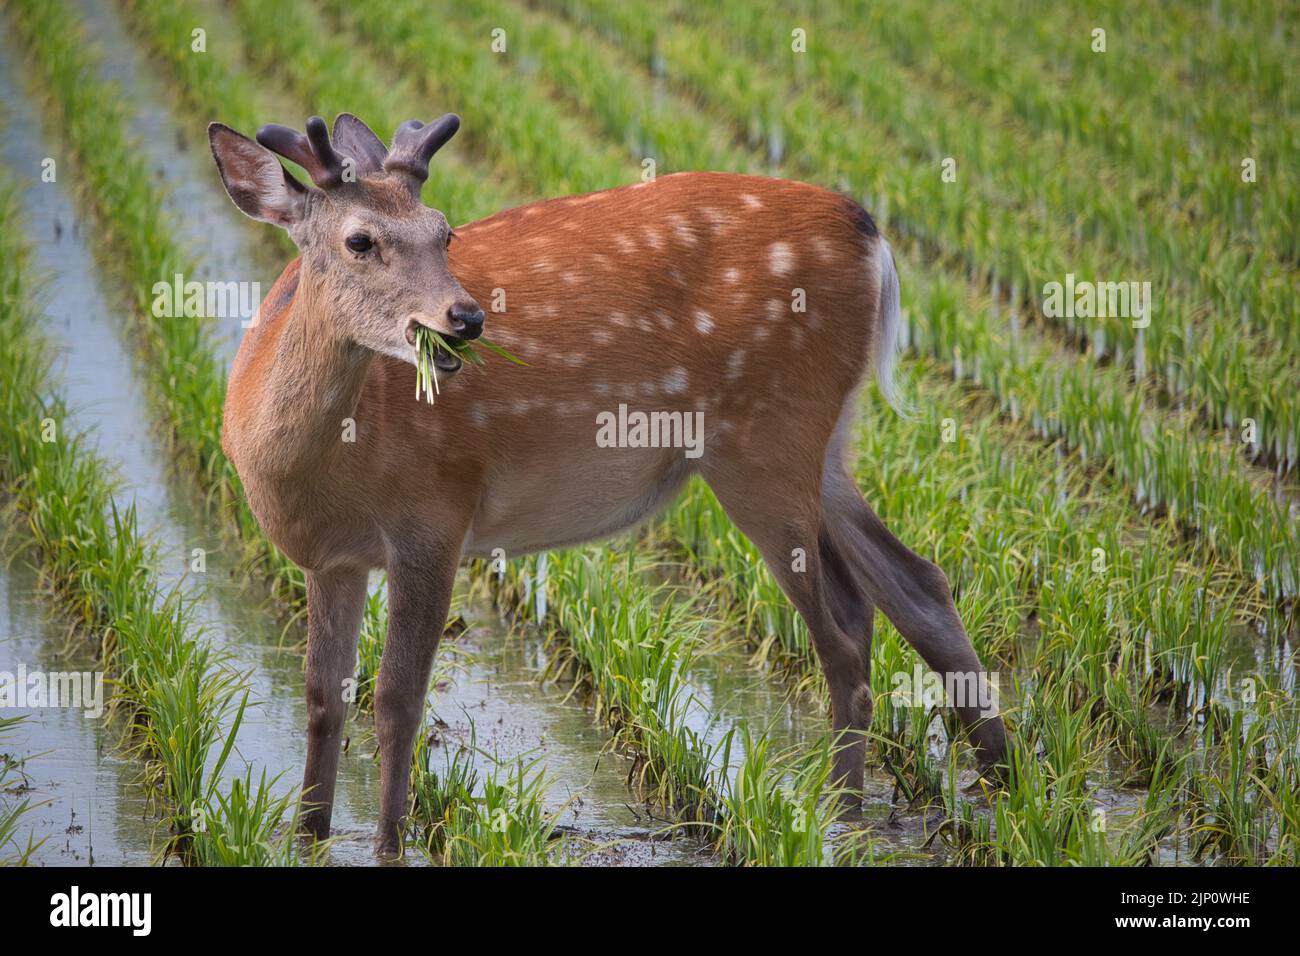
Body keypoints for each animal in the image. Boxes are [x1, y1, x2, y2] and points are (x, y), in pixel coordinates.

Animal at [207, 111, 1008, 858]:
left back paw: (842, 818)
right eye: (360, 240)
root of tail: (869, 231)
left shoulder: (435, 514)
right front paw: (307, 834)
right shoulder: (332, 559)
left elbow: (396, 699)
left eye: (445, 232)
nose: (465, 318)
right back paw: (1001, 787)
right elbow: (321, 700)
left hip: (765, 438)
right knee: (918, 583)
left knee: (843, 627)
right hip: (828, 445)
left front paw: (389, 844)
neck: (315, 473)